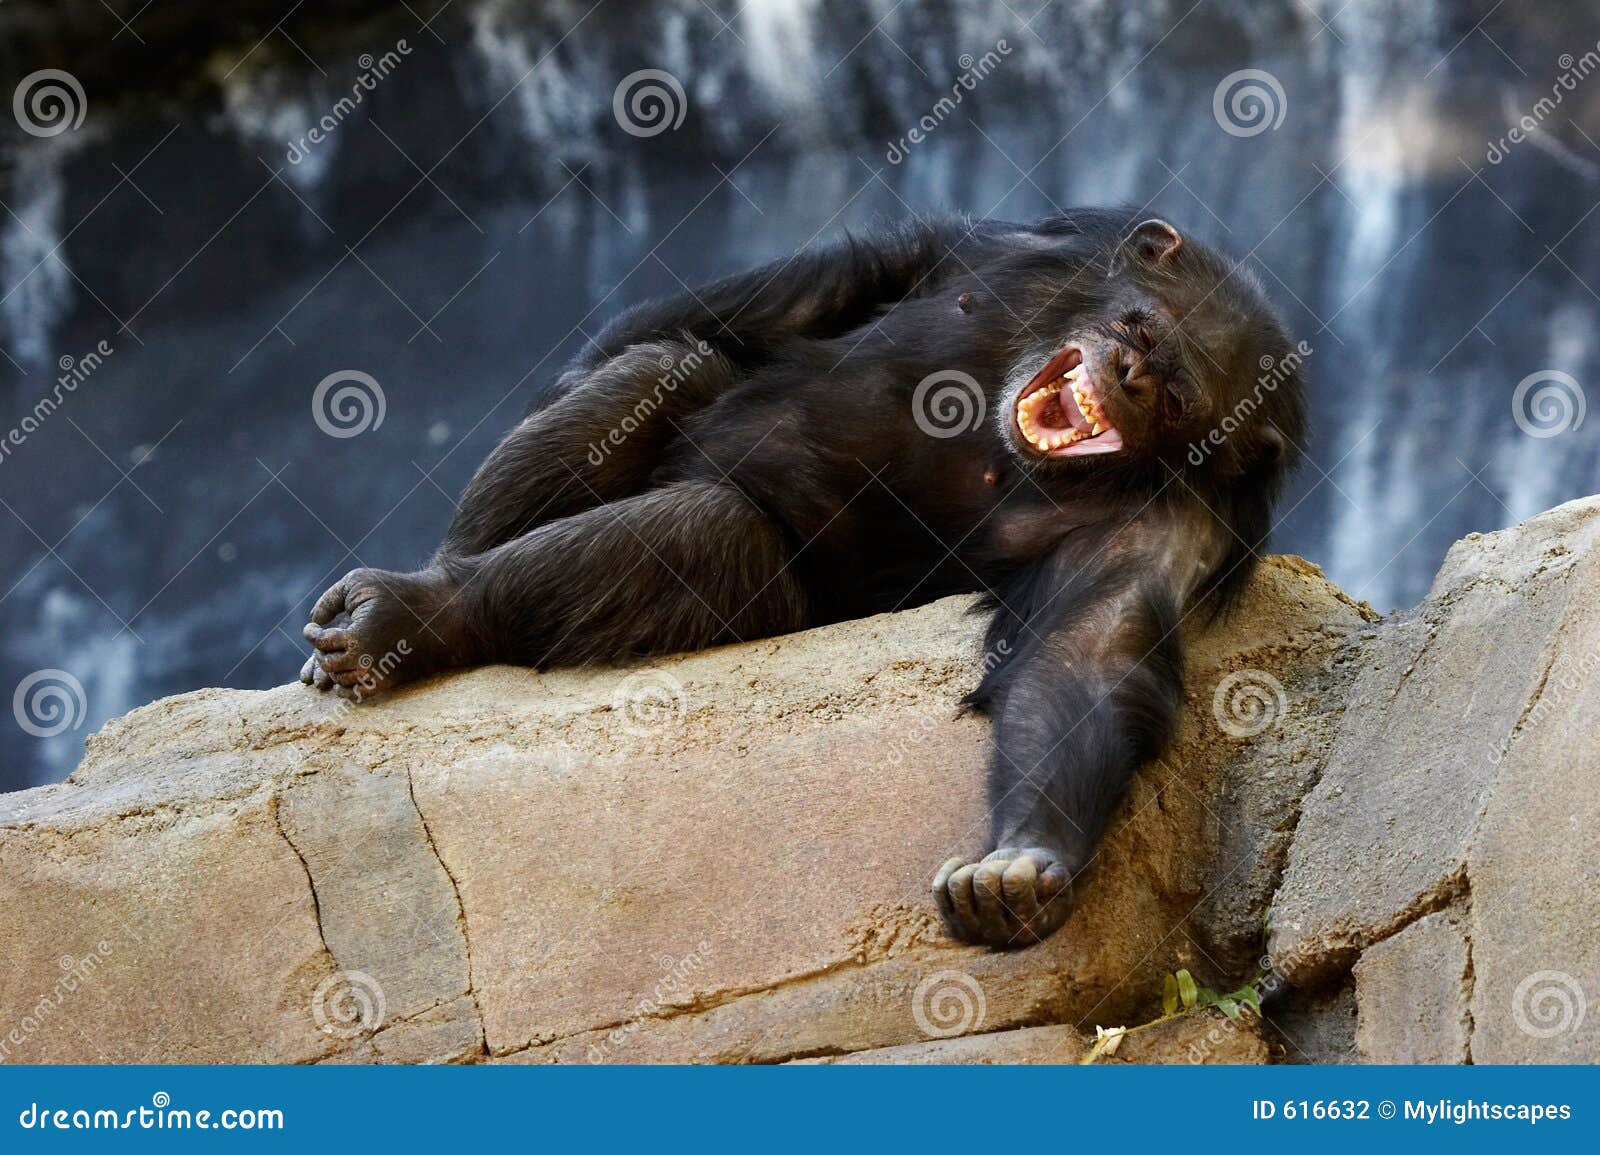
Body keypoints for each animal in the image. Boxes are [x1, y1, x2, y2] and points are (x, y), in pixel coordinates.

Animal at [299, 208, 1305, 949]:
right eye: (1138, 327)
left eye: (1176, 397)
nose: (1129, 371)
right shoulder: (1023, 247)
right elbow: (817, 288)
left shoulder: (1172, 526)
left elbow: (1090, 647)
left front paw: (1023, 862)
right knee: (670, 364)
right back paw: (418, 593)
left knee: (711, 524)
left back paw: (420, 618)